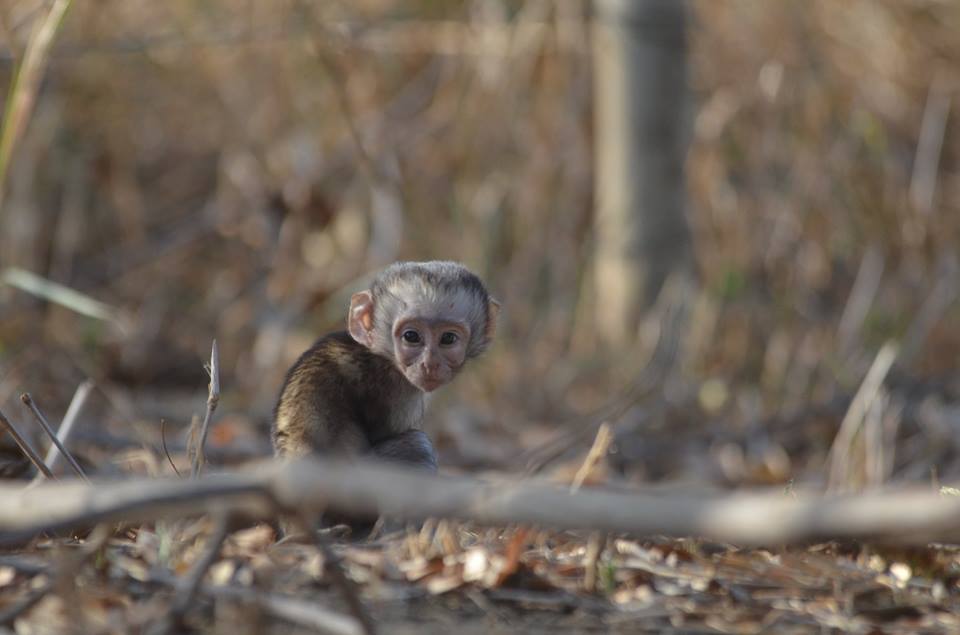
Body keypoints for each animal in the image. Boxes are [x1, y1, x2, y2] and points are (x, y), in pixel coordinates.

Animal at [272, 261, 499, 475]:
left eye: (448, 339)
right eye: (411, 336)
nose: (430, 363)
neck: (381, 356)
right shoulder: (400, 394)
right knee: (418, 446)